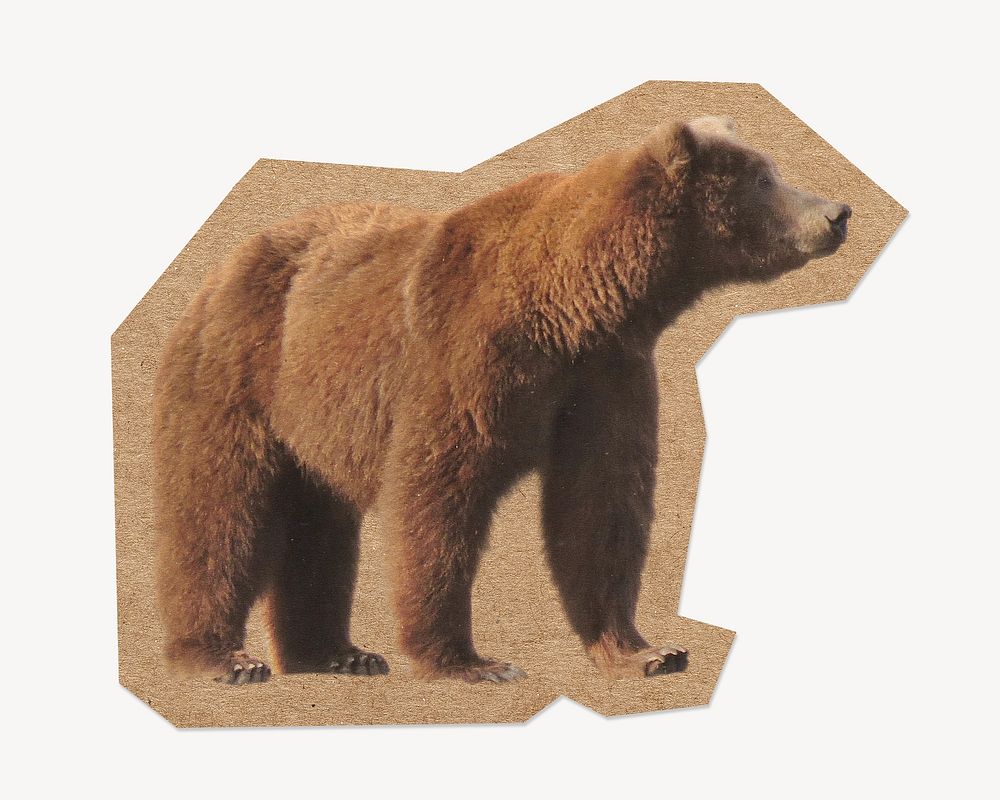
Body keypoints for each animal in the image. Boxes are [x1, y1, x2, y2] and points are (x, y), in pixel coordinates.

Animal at [153, 116, 850, 685]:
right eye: (761, 179)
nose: (837, 212)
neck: (573, 301)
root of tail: (218, 268)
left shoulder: (604, 375)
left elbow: (601, 504)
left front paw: (647, 651)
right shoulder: (466, 358)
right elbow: (437, 495)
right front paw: (469, 660)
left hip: (313, 409)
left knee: (318, 516)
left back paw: (338, 654)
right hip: (239, 369)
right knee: (218, 504)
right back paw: (223, 656)